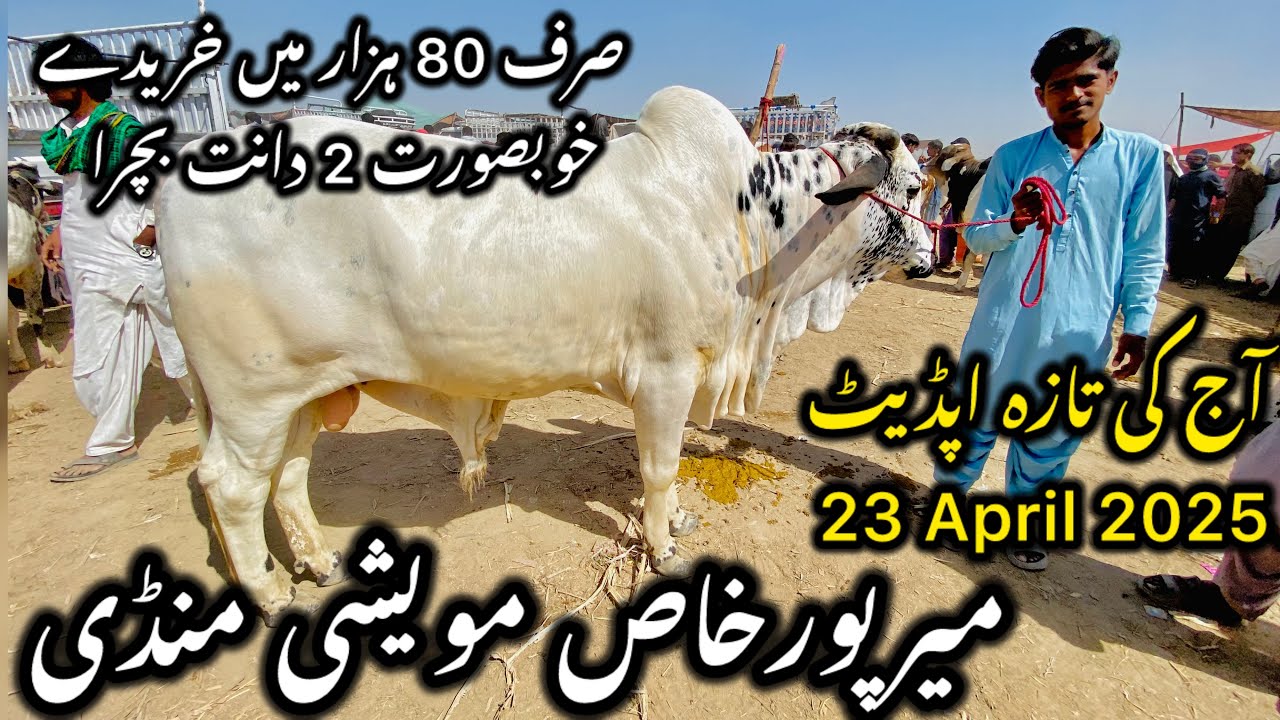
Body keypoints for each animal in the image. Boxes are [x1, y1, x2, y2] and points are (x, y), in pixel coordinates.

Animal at [155, 85, 934, 623]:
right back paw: (270, 592)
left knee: (286, 478)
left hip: (306, 391)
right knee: (231, 485)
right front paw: (662, 545)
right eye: (913, 186)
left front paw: (678, 519)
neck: (745, 216)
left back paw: (317, 562)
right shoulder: (667, 372)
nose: (930, 258)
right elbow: (660, 467)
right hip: (252, 398)